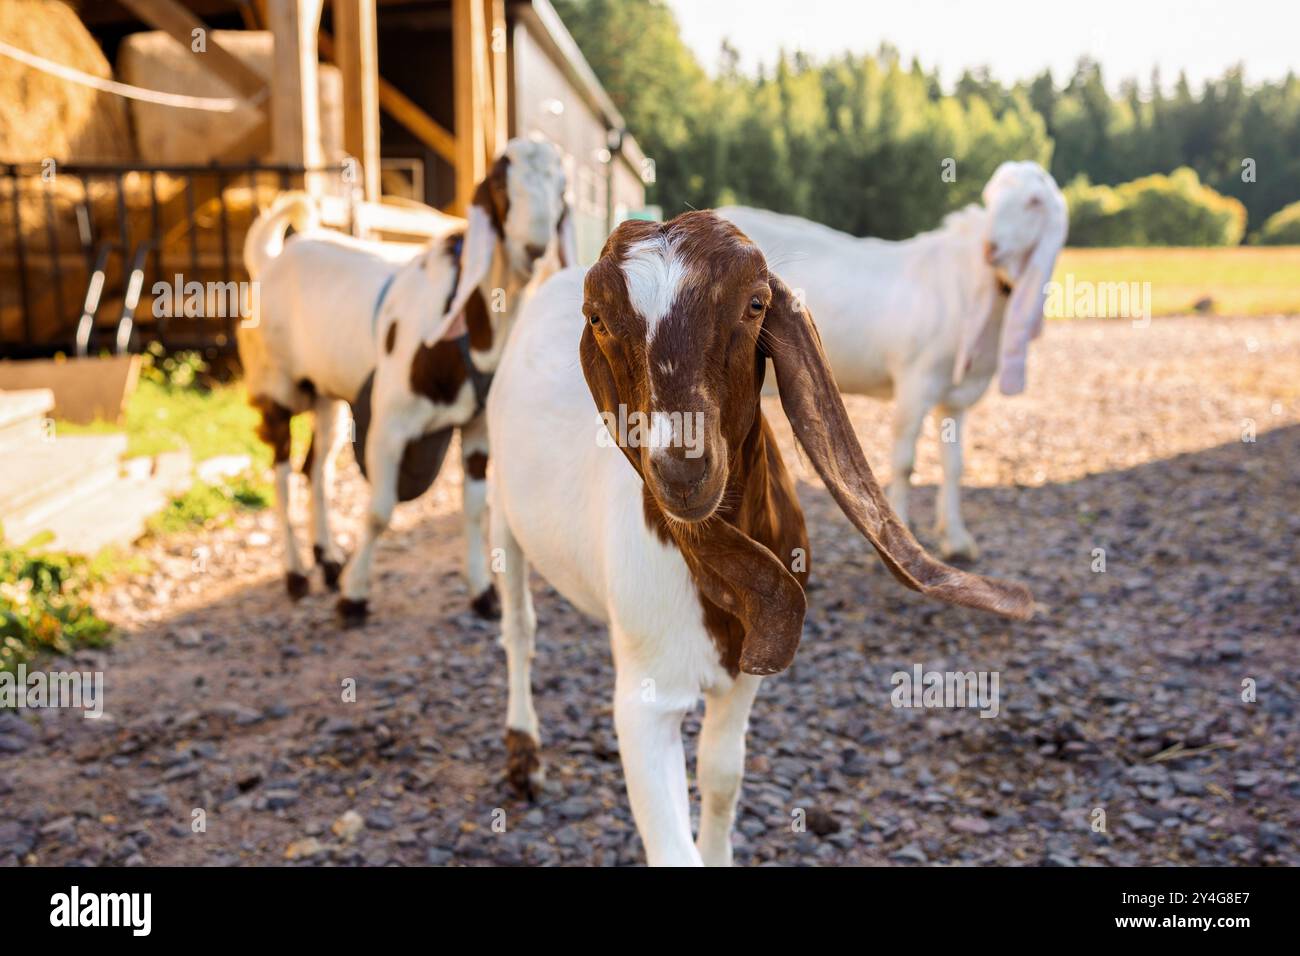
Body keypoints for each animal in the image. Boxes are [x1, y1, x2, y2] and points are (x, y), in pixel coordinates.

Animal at [238, 137, 573, 621]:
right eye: (498, 184)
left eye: (562, 188)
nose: (535, 249)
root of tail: (270, 260)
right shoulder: (389, 425)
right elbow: (380, 510)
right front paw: (354, 597)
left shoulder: (477, 426)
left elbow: (475, 507)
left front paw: (483, 594)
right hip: (276, 385)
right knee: (281, 473)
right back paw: (297, 573)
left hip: (327, 395)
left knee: (315, 466)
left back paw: (328, 560)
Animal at [486, 210, 1034, 866]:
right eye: (597, 318)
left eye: (755, 303)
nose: (681, 469)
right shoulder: (645, 704)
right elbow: (672, 846)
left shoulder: (746, 675)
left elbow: (722, 778)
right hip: (500, 506)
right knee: (519, 628)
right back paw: (523, 754)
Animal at [720, 161, 1068, 560]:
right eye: (991, 197)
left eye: (1034, 201)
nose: (990, 248)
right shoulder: (916, 380)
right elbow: (904, 464)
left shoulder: (955, 396)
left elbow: (954, 465)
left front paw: (957, 539)